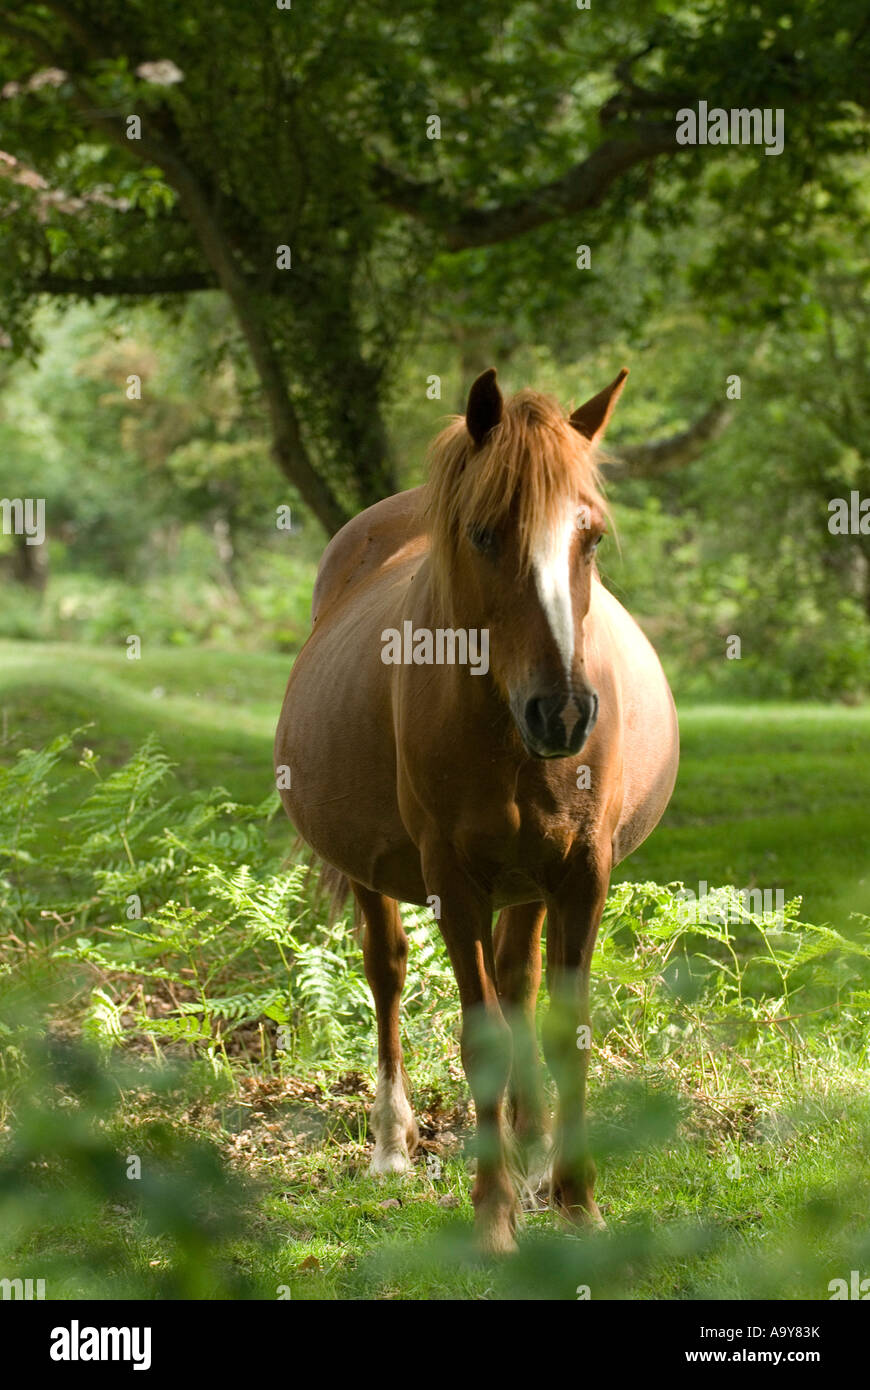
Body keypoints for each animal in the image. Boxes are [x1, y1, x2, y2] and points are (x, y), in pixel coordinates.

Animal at [275, 368, 679, 1254]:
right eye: (487, 534)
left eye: (591, 538)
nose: (564, 714)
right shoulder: (452, 880)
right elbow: (480, 1034)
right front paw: (493, 1219)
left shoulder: (582, 874)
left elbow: (563, 1028)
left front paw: (575, 1201)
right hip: (375, 873)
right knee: (388, 971)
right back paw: (393, 1146)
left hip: (530, 881)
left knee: (516, 976)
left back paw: (530, 1154)